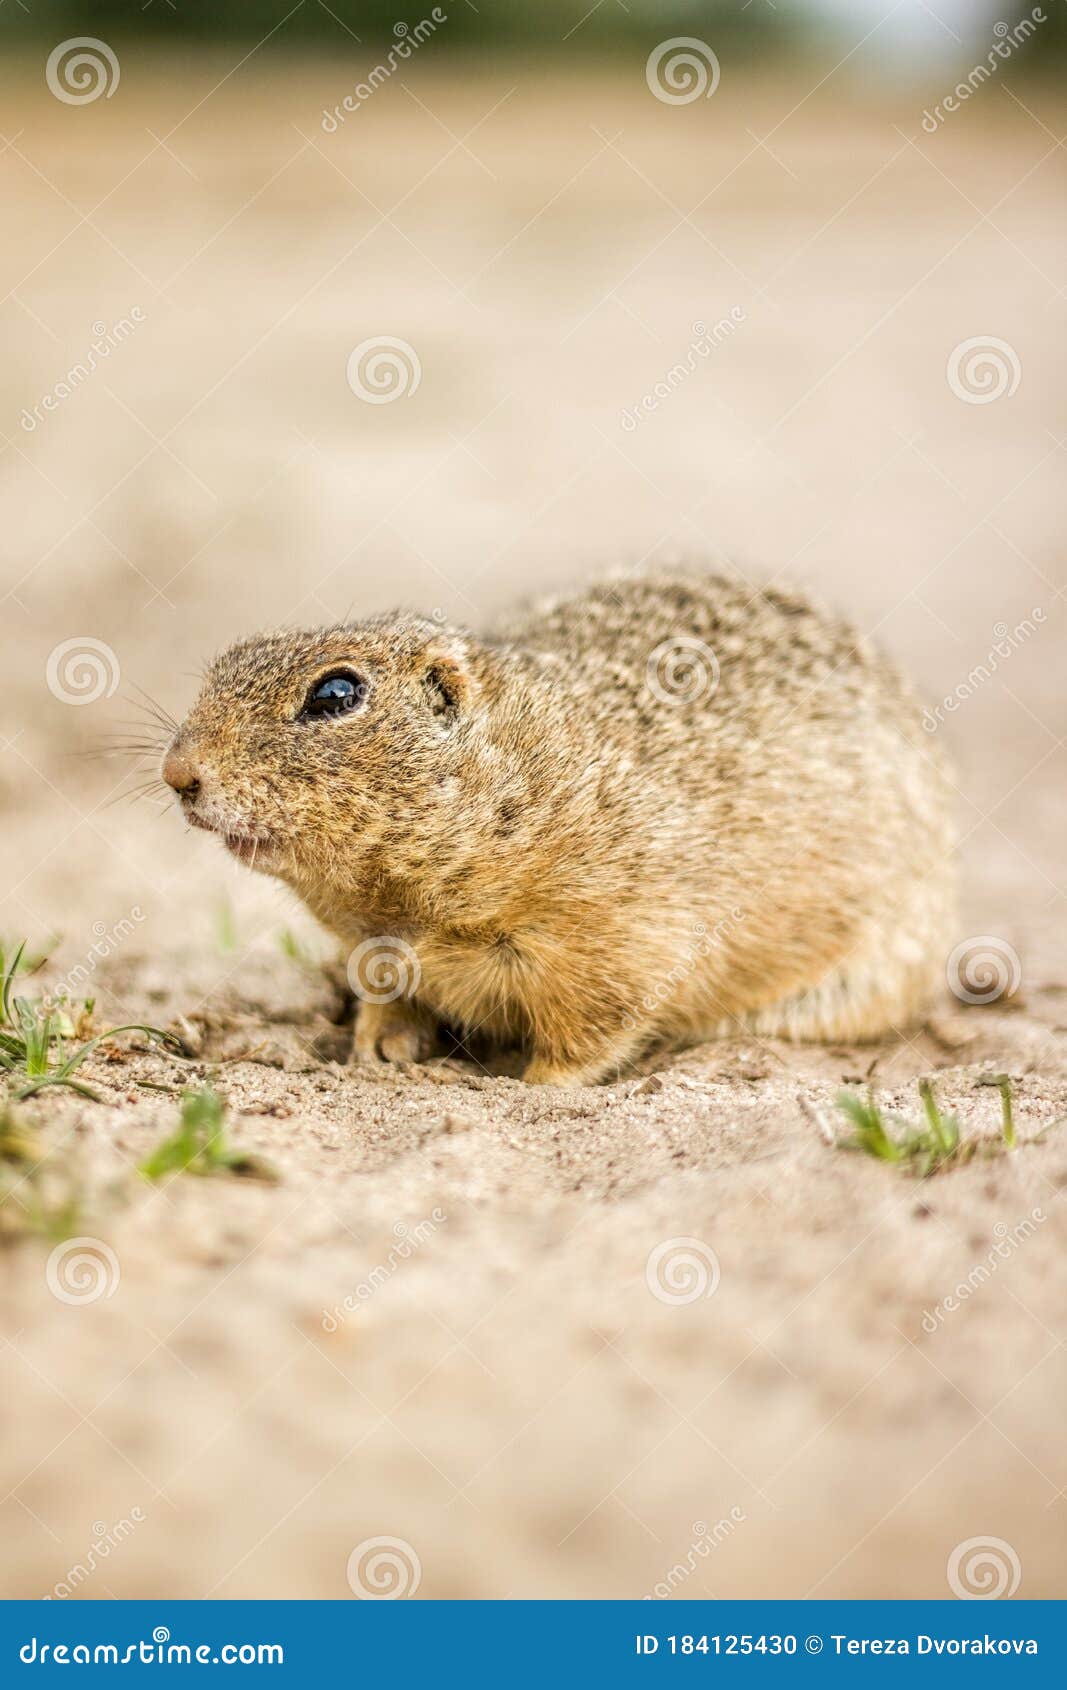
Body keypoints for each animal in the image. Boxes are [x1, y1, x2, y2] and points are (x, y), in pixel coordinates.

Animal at [161, 571, 954, 1085]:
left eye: (335, 693)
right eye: (224, 662)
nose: (177, 773)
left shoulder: (616, 942)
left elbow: (586, 1034)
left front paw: (533, 1085)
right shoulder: (378, 951)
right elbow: (390, 999)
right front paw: (378, 1050)